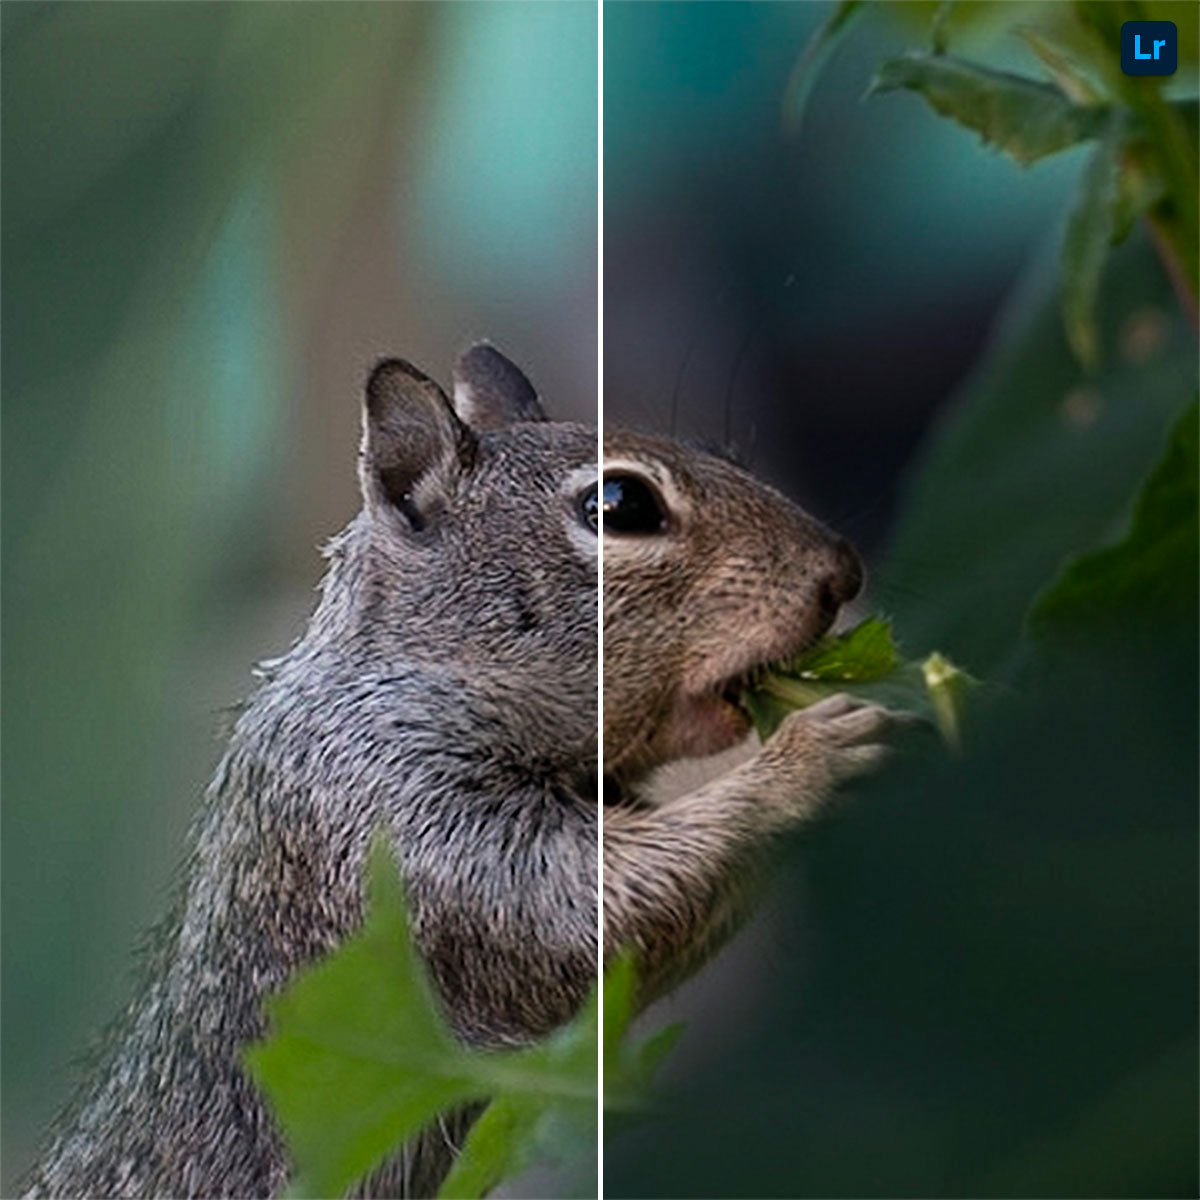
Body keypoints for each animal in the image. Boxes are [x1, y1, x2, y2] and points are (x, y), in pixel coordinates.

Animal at [23, 346, 897, 1199]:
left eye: (719, 452)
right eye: (620, 504)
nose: (841, 573)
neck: (411, 670)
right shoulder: (382, 814)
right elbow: (579, 911)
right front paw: (807, 756)